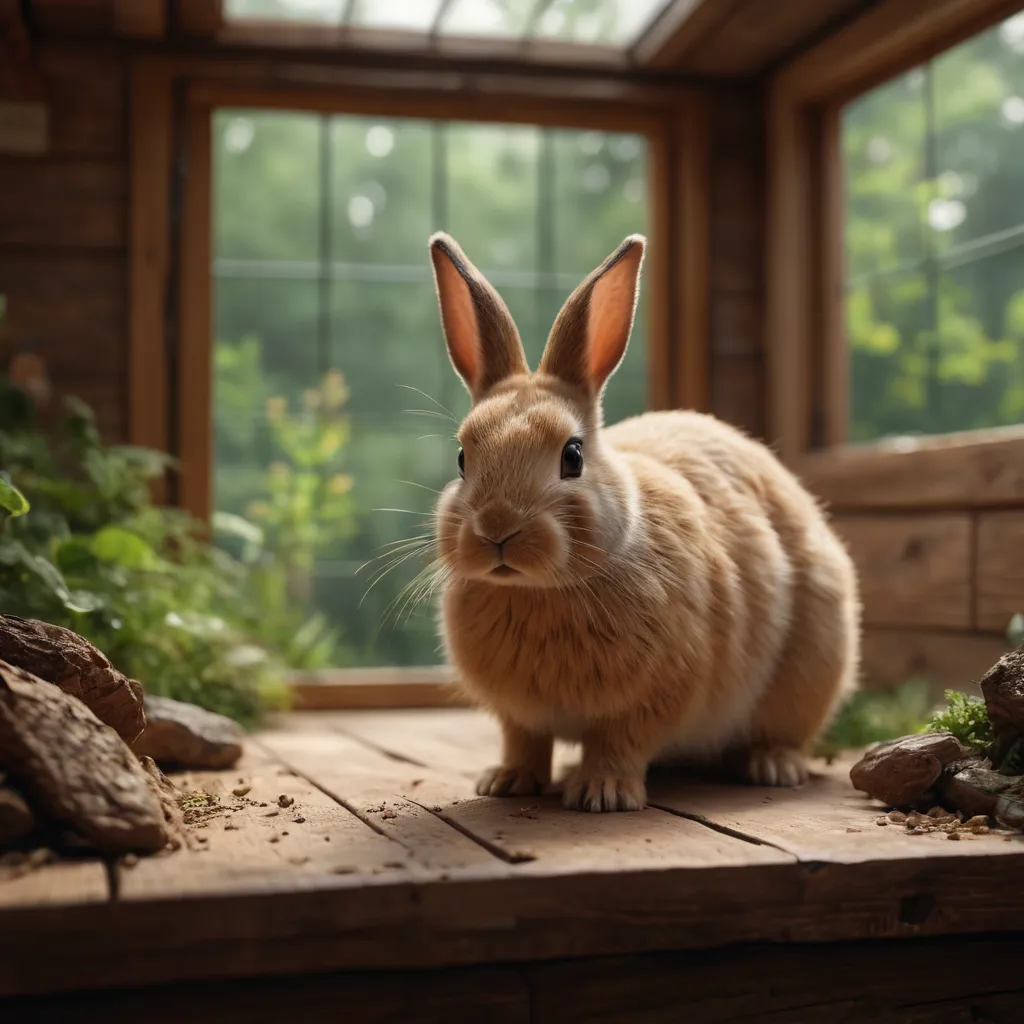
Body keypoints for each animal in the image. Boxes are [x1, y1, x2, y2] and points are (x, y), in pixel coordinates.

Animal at [427, 230, 860, 812]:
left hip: (813, 662)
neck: (542, 591)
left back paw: (770, 766)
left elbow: (621, 742)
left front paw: (603, 793)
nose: (497, 528)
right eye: (461, 458)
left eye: (572, 456)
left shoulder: (655, 695)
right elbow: (525, 741)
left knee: (784, 732)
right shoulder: (520, 715)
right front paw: (506, 781)